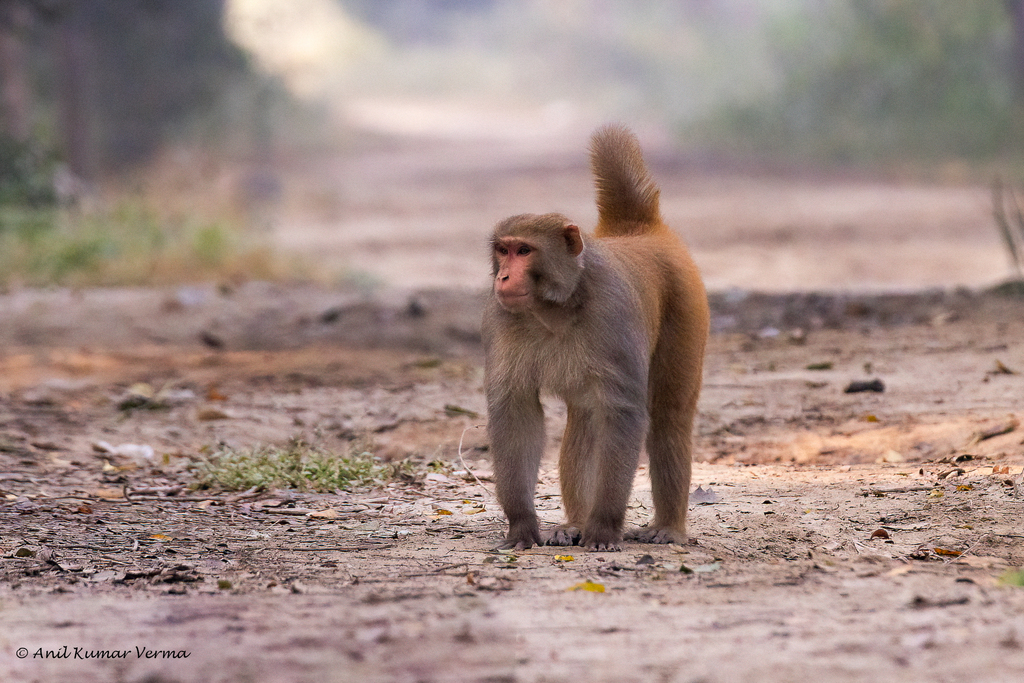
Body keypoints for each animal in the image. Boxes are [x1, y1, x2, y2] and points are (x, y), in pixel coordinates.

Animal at [482, 124, 709, 551]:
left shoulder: (613, 313)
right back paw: (574, 522)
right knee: (585, 420)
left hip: (687, 305)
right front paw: (522, 525)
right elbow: (517, 411)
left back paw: (668, 526)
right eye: (503, 250)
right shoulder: (502, 318)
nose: (503, 277)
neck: (558, 306)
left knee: (669, 414)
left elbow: (623, 412)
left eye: (524, 250)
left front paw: (603, 527)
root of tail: (640, 231)